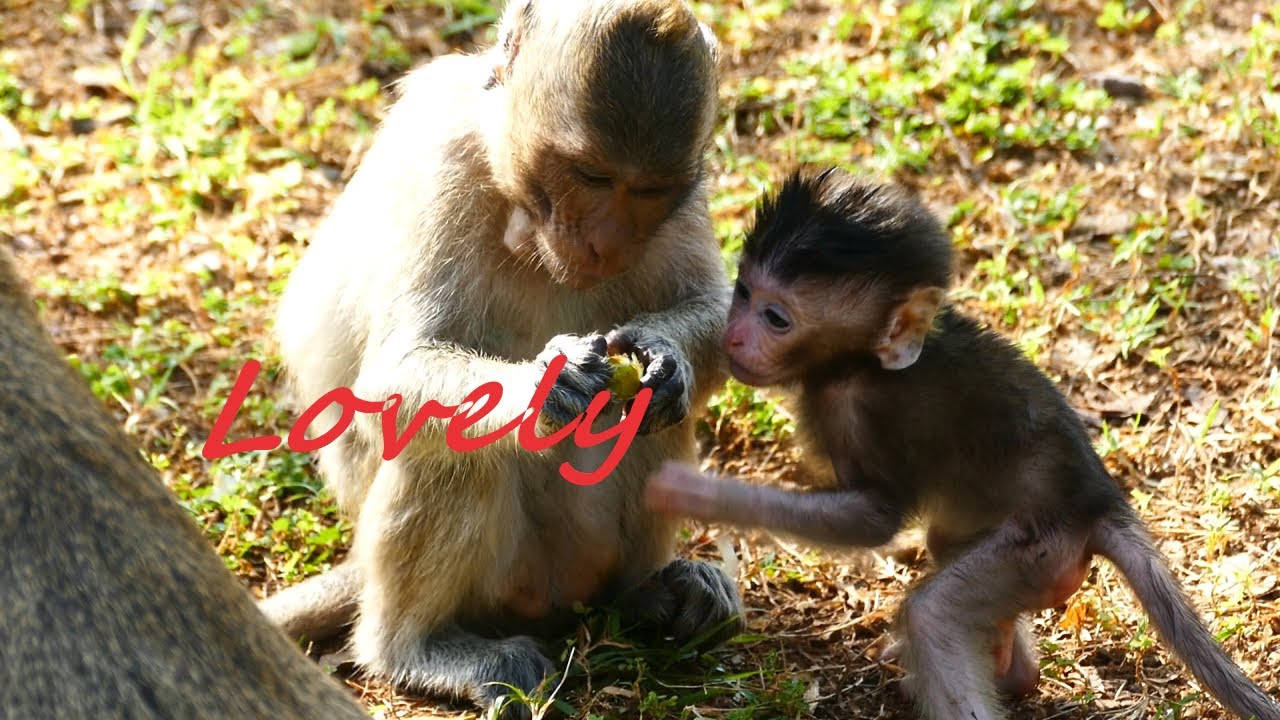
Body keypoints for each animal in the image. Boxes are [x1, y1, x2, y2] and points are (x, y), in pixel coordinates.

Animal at [258, 0, 744, 717]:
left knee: (652, 419)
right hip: (504, 579)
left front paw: (666, 358)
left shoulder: (688, 196)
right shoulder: (446, 168)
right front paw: (546, 386)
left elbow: (720, 314)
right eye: (592, 176)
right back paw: (413, 649)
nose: (606, 242)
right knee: (452, 444)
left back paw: (648, 590)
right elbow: (388, 378)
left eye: (649, 191)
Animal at [644, 168, 1280, 720]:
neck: (856, 361)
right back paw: (1011, 666)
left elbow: (871, 519)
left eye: (776, 317)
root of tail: (1099, 503)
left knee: (934, 615)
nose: (734, 336)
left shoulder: (855, 411)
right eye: (743, 292)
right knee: (946, 545)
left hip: (1040, 547)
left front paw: (691, 491)